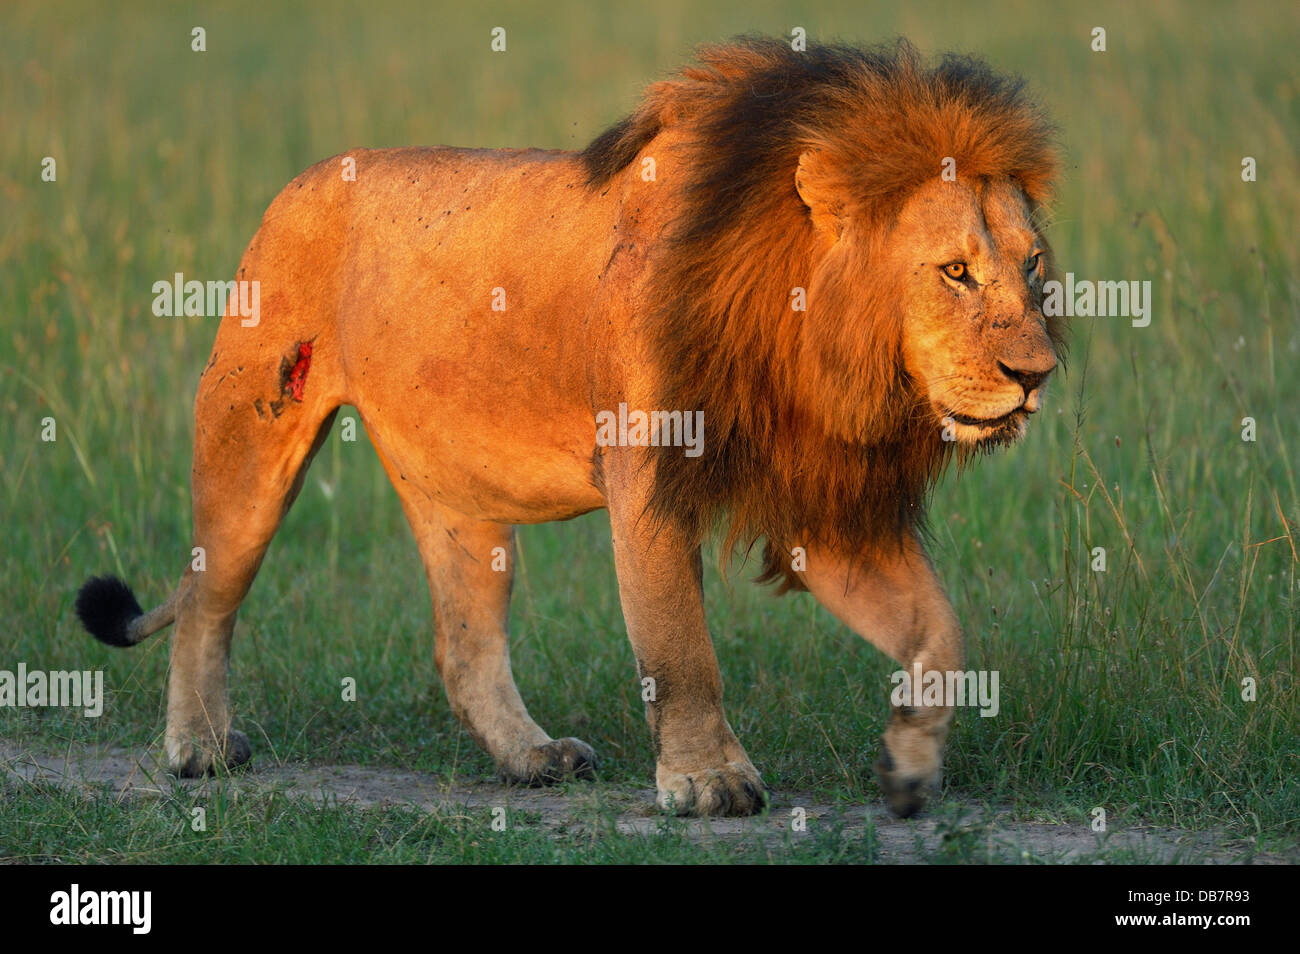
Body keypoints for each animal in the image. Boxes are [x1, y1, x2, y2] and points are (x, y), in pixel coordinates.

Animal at [75, 37, 1062, 818]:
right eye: (956, 272)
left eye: (1031, 266)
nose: (1037, 375)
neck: (813, 343)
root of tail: (300, 181)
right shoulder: (651, 472)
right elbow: (680, 648)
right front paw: (708, 783)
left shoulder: (822, 503)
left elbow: (941, 632)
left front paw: (908, 766)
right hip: (249, 427)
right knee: (210, 597)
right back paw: (199, 747)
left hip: (462, 497)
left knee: (465, 649)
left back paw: (531, 758)